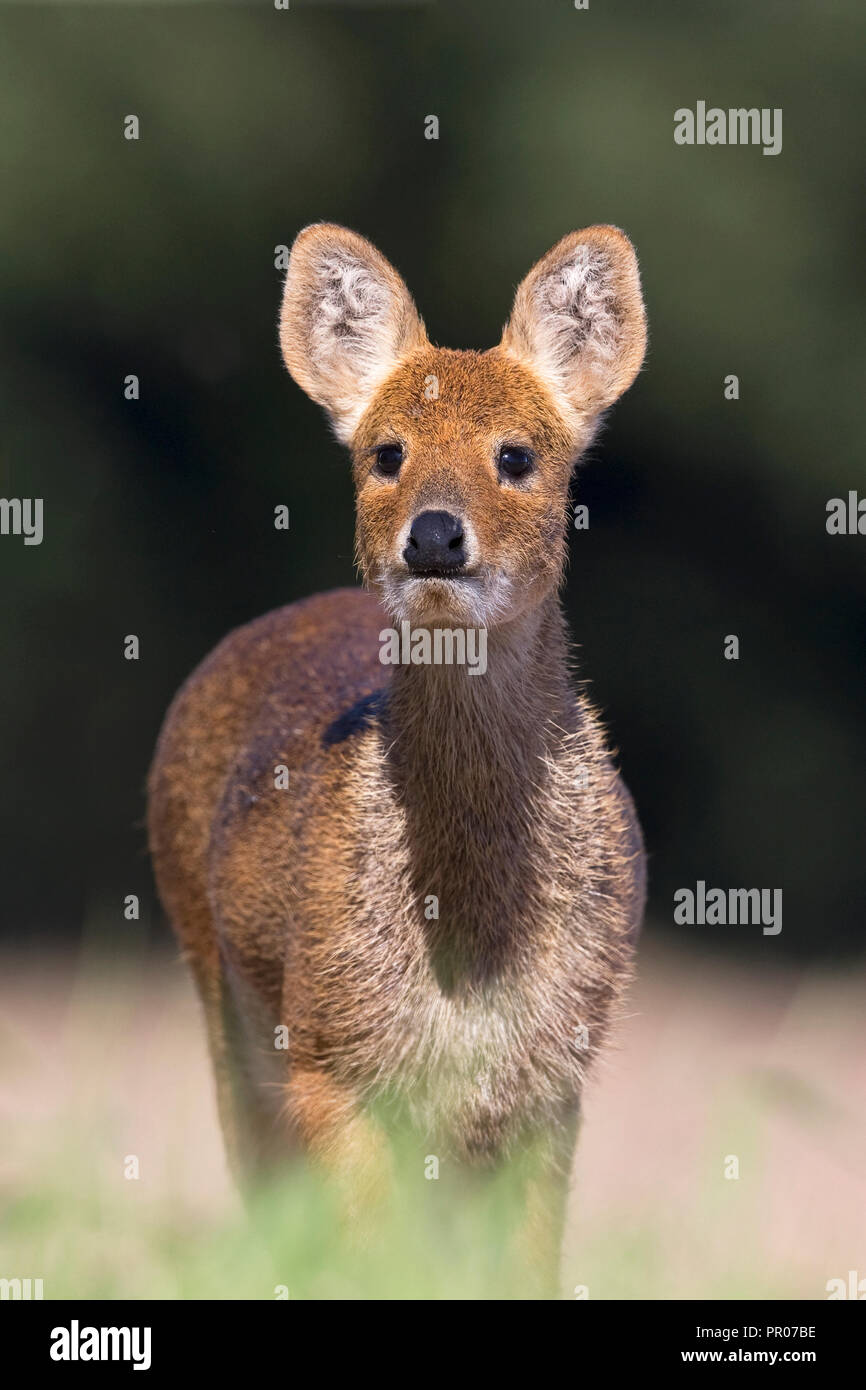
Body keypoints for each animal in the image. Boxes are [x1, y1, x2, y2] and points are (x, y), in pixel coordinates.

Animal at [147, 222, 648, 1296]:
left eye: (517, 455)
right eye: (387, 454)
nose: (435, 534)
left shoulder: (550, 1080)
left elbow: (521, 1268)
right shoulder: (331, 1058)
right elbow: (370, 1257)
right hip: (224, 1008)